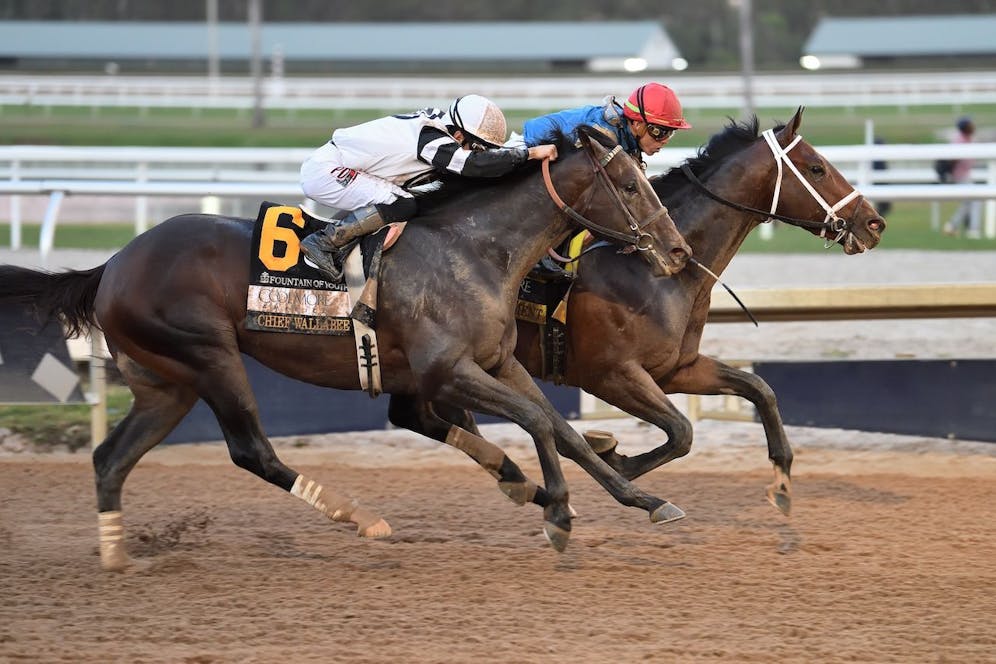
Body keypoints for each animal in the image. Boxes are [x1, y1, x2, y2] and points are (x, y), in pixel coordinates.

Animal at [0, 126, 692, 571]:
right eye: (630, 185)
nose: (678, 251)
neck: (473, 247)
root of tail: (114, 264)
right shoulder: (448, 369)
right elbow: (536, 422)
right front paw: (557, 514)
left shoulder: (497, 361)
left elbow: (562, 429)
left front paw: (645, 500)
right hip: (209, 356)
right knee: (251, 451)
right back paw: (361, 517)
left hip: (164, 382)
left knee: (111, 459)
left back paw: (117, 555)